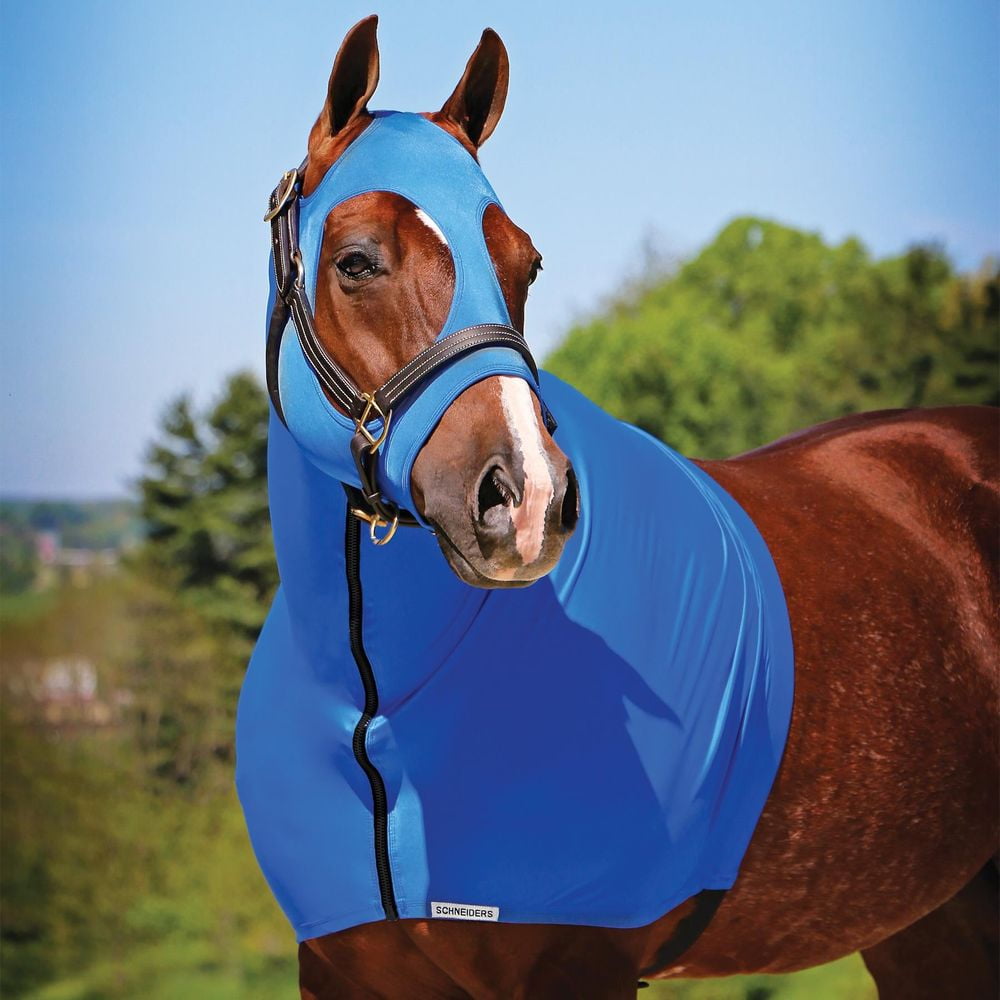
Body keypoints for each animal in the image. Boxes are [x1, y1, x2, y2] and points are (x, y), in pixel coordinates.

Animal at [240, 17, 999, 999]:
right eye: (356, 261)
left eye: (525, 263)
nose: (525, 497)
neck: (379, 702)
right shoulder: (344, 973)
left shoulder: (580, 963)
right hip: (934, 921)